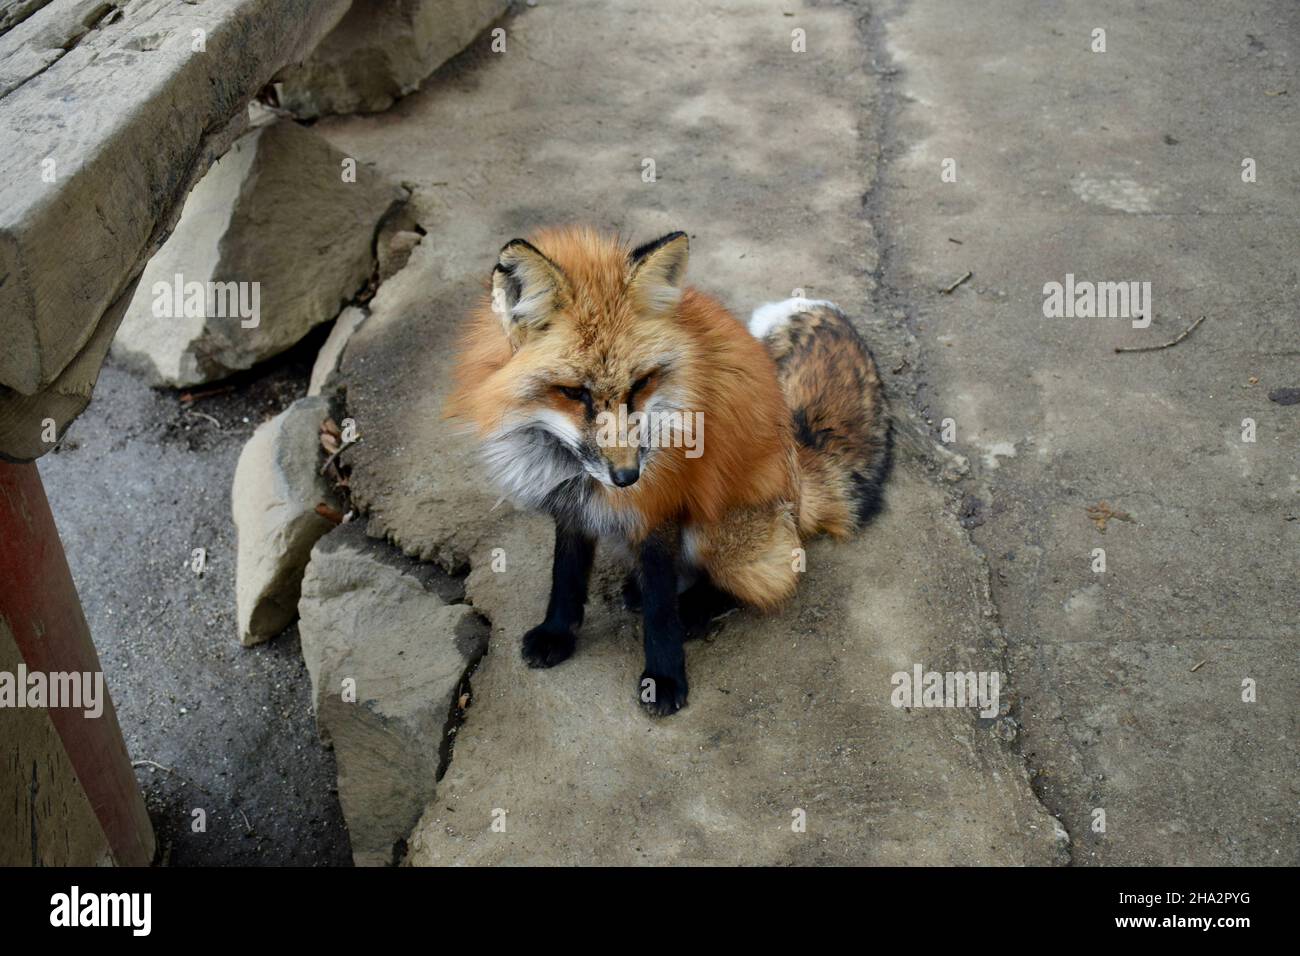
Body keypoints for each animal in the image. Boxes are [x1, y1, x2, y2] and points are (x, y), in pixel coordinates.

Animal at [446, 226, 891, 716]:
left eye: (640, 384)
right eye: (574, 393)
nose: (627, 478)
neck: (564, 462)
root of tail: (799, 478)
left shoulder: (659, 505)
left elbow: (661, 607)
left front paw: (663, 677)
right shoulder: (572, 504)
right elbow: (566, 573)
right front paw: (557, 633)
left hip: (722, 528)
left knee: (771, 575)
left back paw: (694, 608)